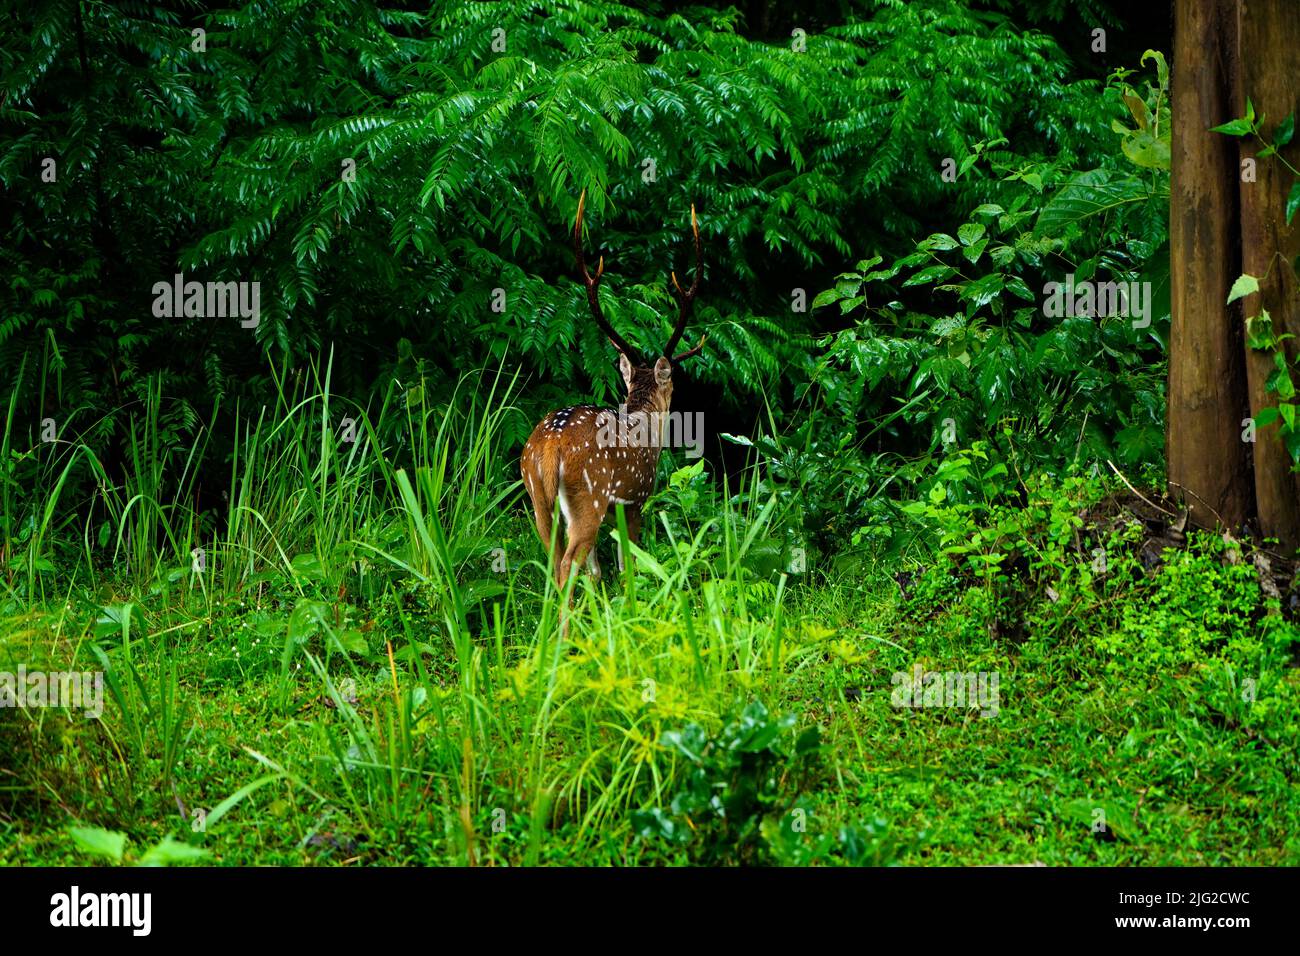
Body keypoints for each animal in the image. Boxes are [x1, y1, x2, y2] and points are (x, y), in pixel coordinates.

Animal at [520, 191, 706, 598]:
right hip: (589, 496)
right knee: (567, 565)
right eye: (674, 384)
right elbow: (627, 565)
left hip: (537, 498)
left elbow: (597, 574)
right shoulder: (634, 499)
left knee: (554, 563)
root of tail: (548, 445)